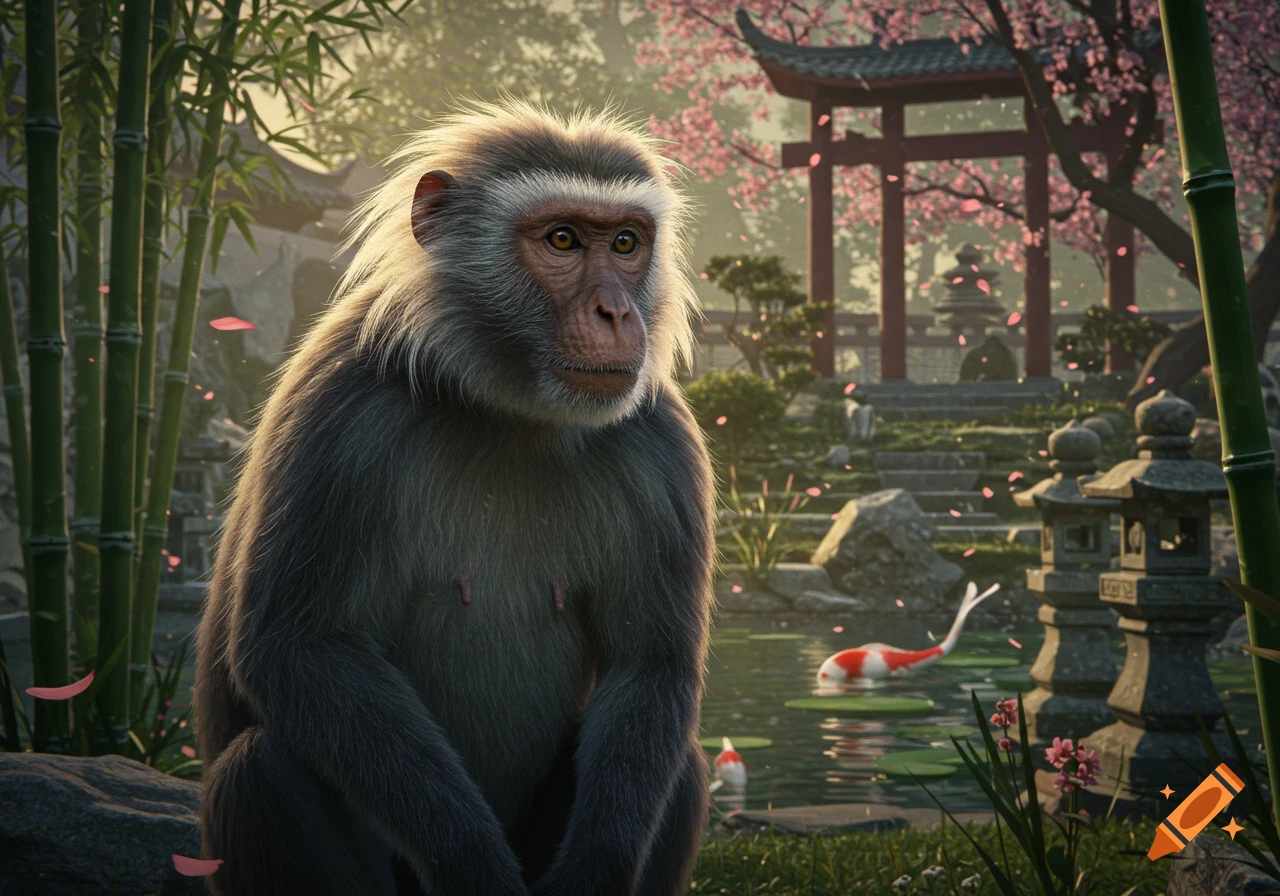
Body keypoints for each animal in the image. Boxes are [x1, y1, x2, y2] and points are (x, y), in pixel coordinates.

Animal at [194, 98, 717, 896]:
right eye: (562, 239)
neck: (508, 411)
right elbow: (301, 647)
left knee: (680, 765)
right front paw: (473, 867)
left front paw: (593, 871)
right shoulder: (341, 414)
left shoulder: (656, 445)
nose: (617, 313)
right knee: (261, 769)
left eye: (626, 243)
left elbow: (649, 667)